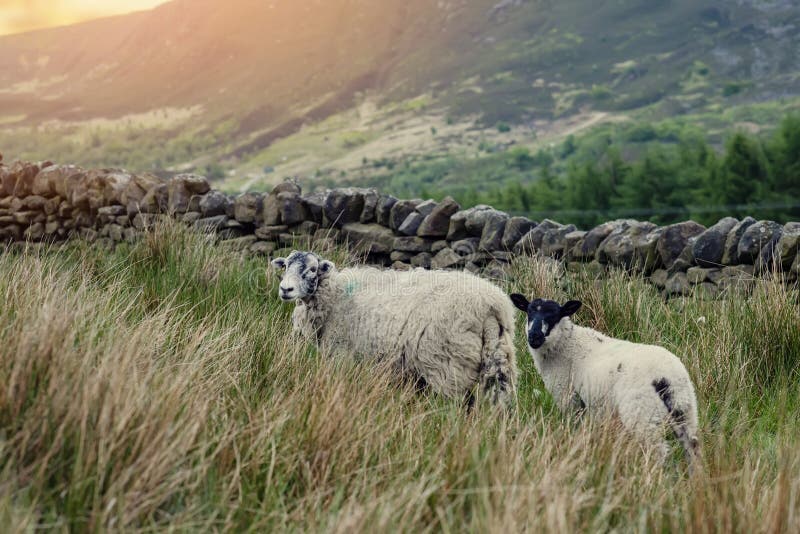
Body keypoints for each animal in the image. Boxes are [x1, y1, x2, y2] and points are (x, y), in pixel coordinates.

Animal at [271, 250, 517, 408]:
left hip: (448, 367)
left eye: (312, 269)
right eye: (285, 266)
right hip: (497, 360)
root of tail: (492, 305)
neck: (335, 296)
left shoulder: (341, 355)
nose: (285, 289)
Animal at [509, 293, 700, 465]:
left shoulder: (567, 396)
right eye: (529, 313)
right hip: (685, 409)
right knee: (692, 445)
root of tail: (668, 377)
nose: (534, 337)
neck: (565, 346)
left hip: (642, 412)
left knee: (657, 450)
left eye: (554, 316)